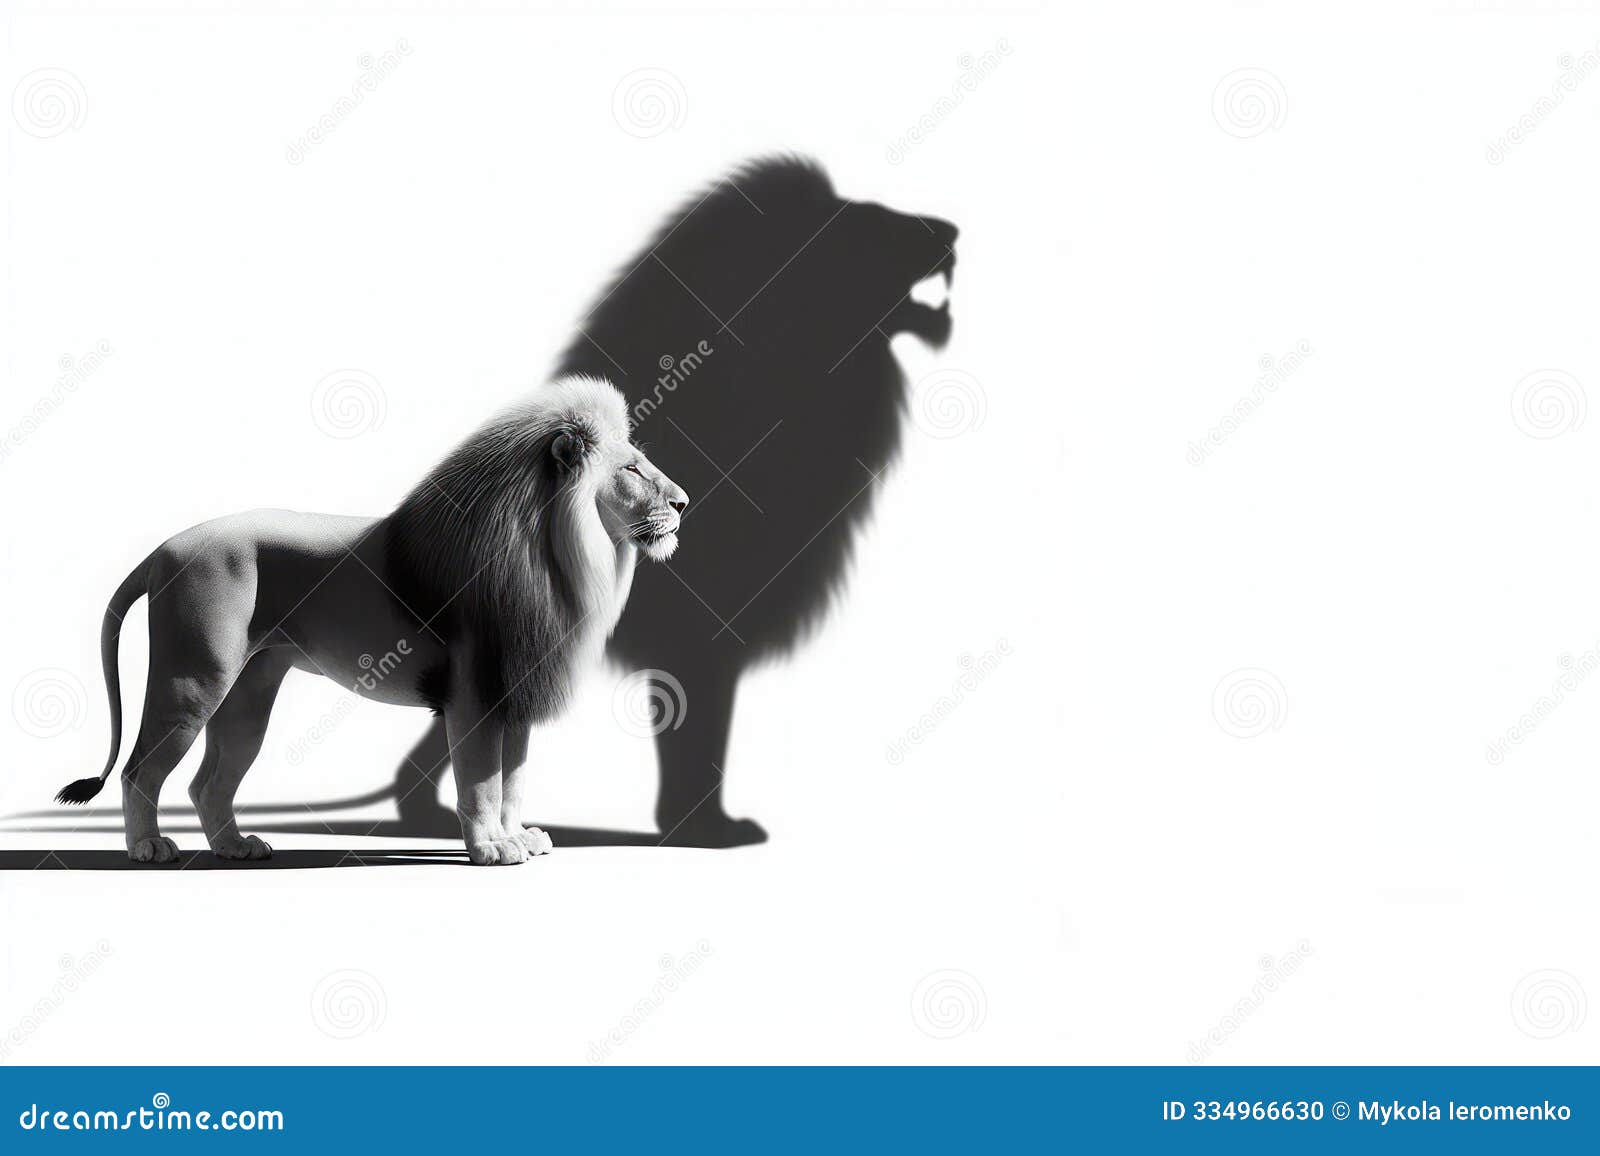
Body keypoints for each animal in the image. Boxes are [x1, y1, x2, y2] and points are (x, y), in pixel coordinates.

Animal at [54, 375, 688, 866]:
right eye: (632, 469)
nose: (683, 503)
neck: (563, 556)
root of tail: (163, 549)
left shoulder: (518, 690)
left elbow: (514, 780)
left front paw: (518, 837)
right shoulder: (476, 695)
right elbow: (483, 780)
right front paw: (490, 849)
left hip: (248, 693)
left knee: (208, 781)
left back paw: (235, 847)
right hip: (192, 679)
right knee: (139, 770)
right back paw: (148, 848)